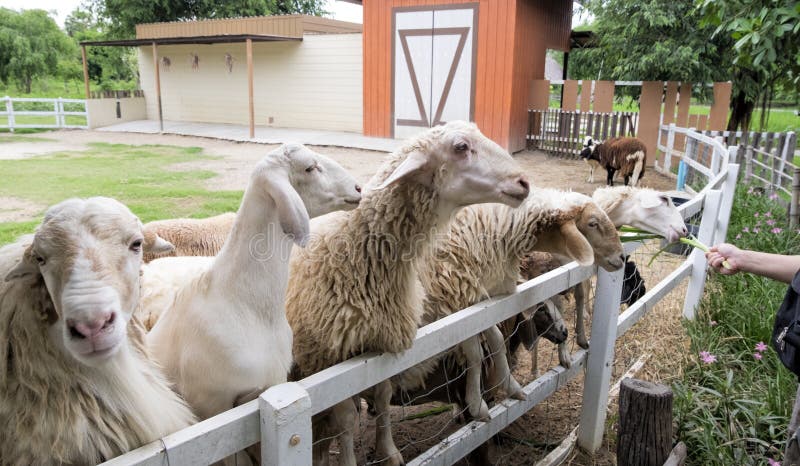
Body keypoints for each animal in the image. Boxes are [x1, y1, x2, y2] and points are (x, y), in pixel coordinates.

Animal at [285, 121, 530, 466]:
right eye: (460, 147)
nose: (524, 182)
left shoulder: (381, 347)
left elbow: (384, 396)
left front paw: (387, 449)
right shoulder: (327, 359)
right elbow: (346, 418)